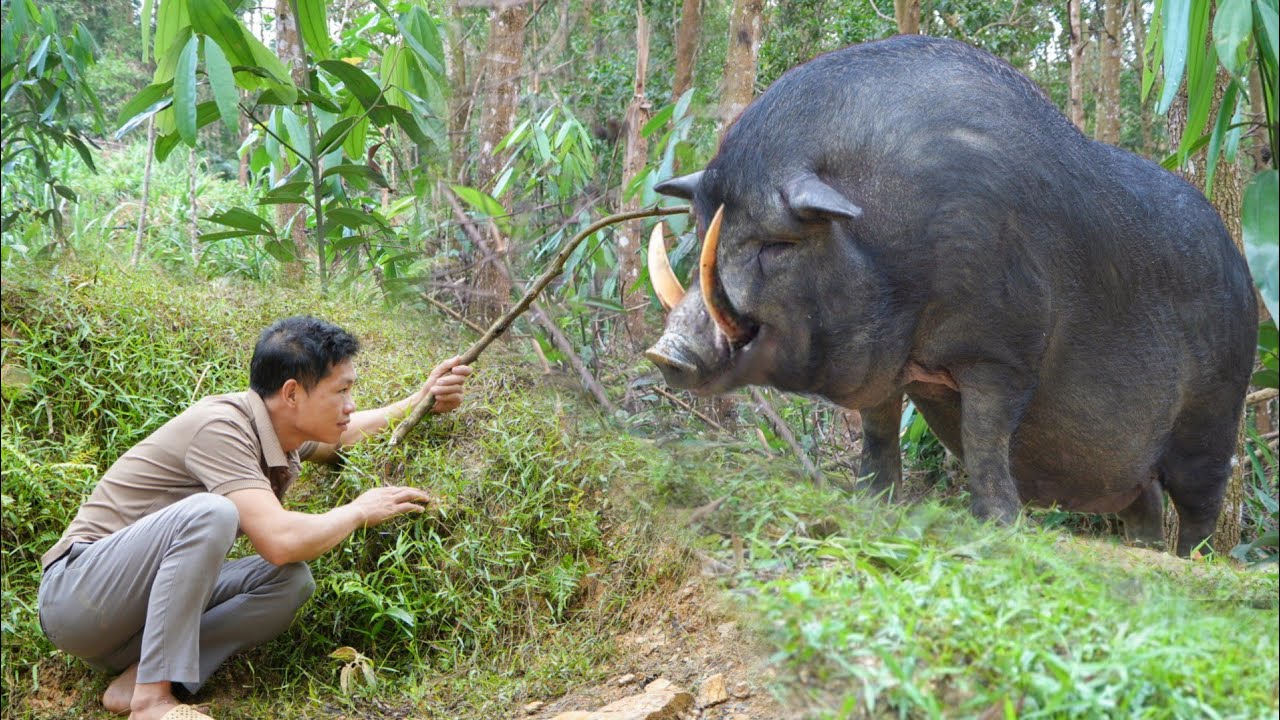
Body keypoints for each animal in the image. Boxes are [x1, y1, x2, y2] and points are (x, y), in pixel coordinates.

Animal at [644, 35, 1258, 556]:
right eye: (702, 221)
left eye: (777, 243)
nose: (666, 353)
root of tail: (1244, 272)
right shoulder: (885, 364)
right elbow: (877, 429)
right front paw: (873, 502)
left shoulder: (1001, 352)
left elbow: (984, 434)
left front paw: (997, 524)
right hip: (1140, 468)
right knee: (1144, 501)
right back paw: (1144, 551)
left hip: (1216, 409)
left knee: (1202, 501)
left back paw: (1195, 559)